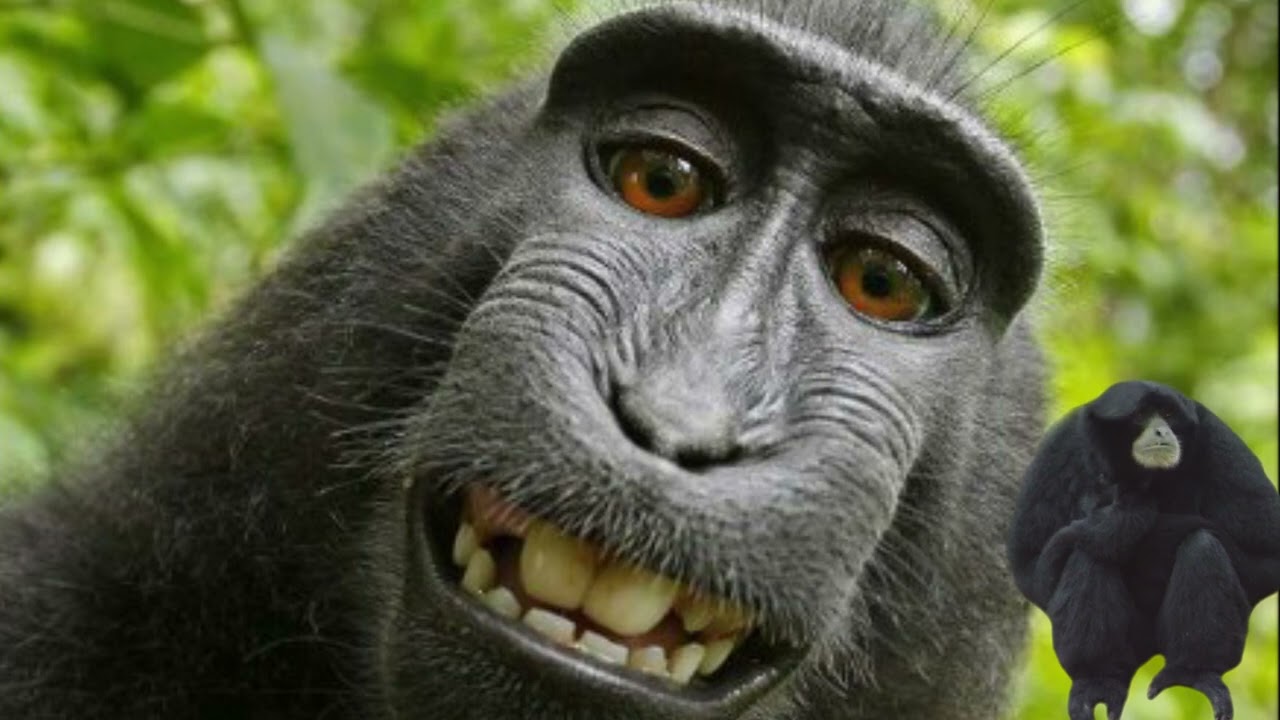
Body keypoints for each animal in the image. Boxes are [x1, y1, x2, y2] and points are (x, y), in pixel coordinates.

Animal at [1007, 380, 1280, 720]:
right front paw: (1122, 516)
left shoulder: (1218, 439)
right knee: (1087, 556)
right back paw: (1098, 679)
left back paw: (1193, 673)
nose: (1162, 430)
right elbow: (1030, 568)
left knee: (1202, 544)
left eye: (1167, 414)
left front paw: (1126, 520)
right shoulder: (1061, 447)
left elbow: (1267, 557)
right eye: (1140, 416)